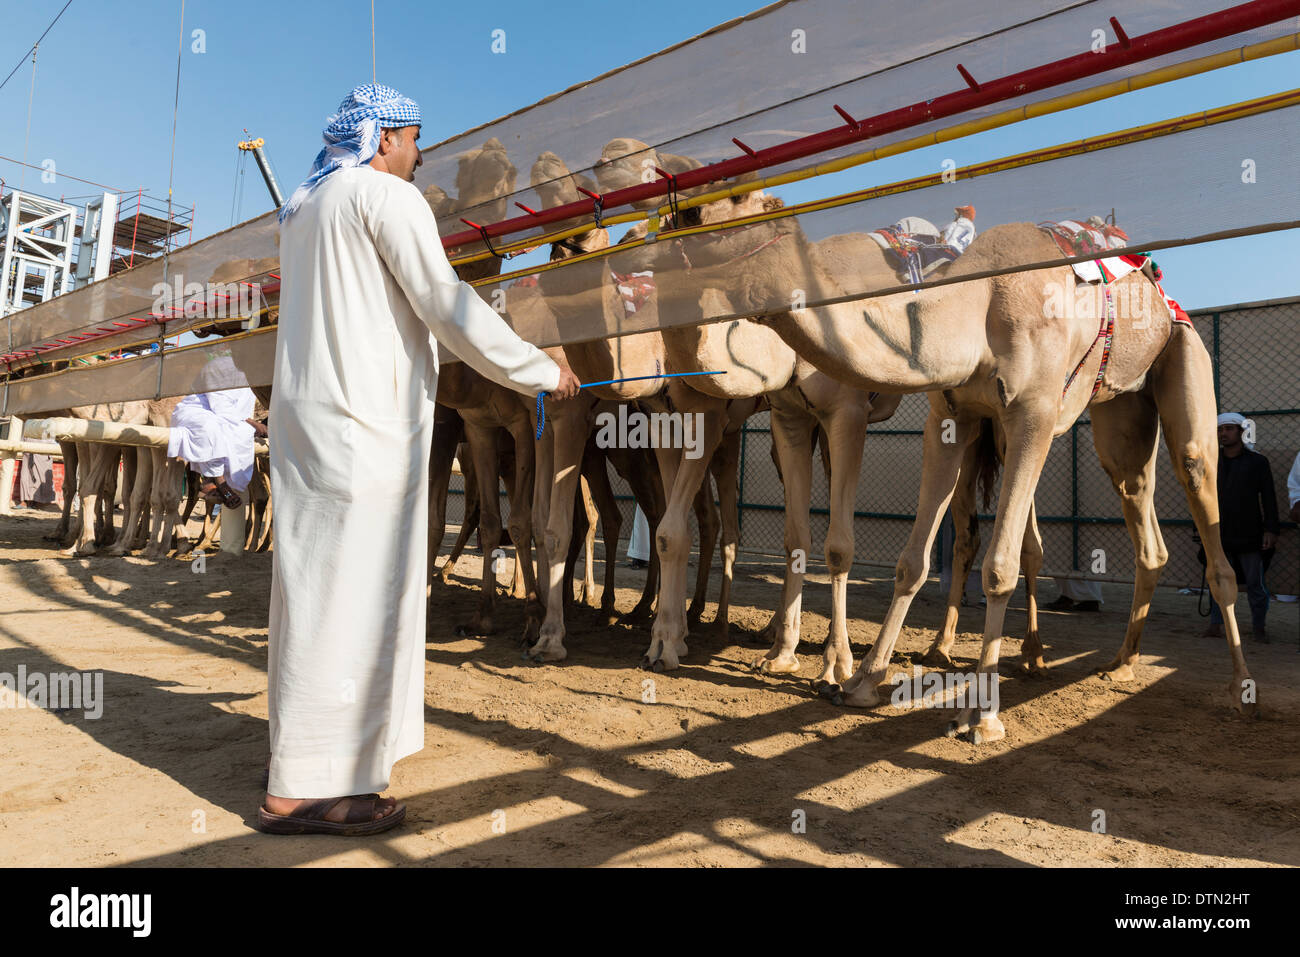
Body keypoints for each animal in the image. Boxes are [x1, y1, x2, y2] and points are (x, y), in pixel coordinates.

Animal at [647, 189, 1253, 739]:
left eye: (721, 204)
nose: (670, 223)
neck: (982, 306)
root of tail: (1159, 290)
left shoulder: (1027, 412)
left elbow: (995, 566)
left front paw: (978, 715)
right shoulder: (948, 415)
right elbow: (909, 561)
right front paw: (862, 681)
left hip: (1179, 359)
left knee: (1198, 494)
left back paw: (1235, 686)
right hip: (1115, 413)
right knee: (1138, 511)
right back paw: (1115, 662)